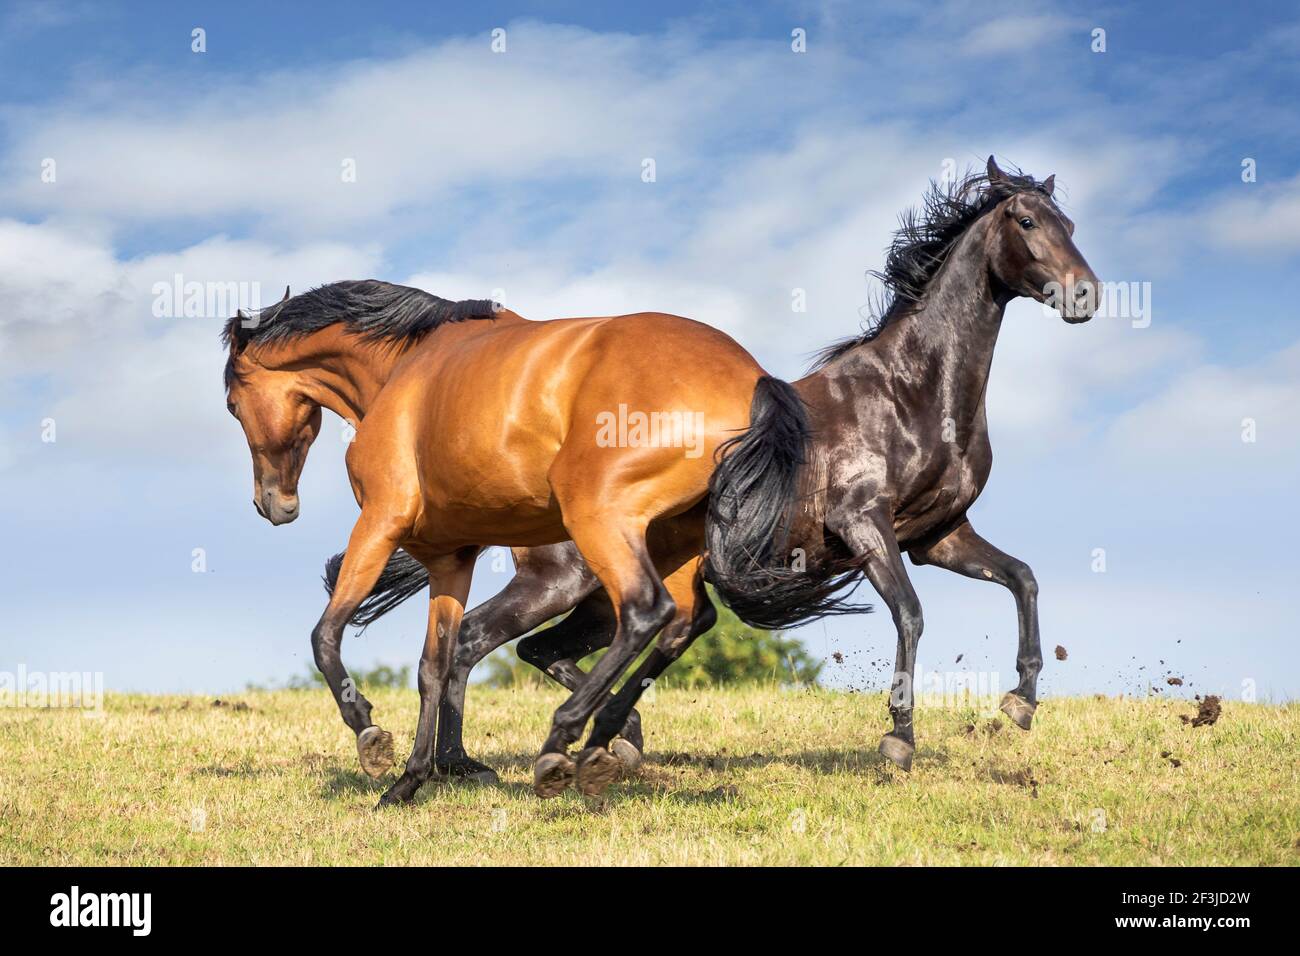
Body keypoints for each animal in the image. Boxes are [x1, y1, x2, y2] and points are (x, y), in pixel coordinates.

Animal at [223, 281, 758, 806]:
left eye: (231, 405)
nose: (271, 504)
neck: (403, 367)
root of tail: (750, 382)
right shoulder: (450, 558)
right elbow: (433, 666)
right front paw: (411, 780)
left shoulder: (378, 523)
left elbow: (326, 634)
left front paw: (369, 735)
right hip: (661, 548)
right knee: (678, 623)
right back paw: (587, 743)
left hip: (587, 545)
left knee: (644, 612)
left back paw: (565, 743)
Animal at [349, 156, 1101, 789]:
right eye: (1026, 221)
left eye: (1069, 224)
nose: (1086, 296)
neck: (911, 391)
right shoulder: (865, 525)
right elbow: (911, 614)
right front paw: (899, 741)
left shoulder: (939, 535)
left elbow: (1023, 578)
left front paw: (1020, 701)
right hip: (563, 581)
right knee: (485, 640)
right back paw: (495, 757)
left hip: (606, 592)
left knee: (555, 644)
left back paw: (594, 741)